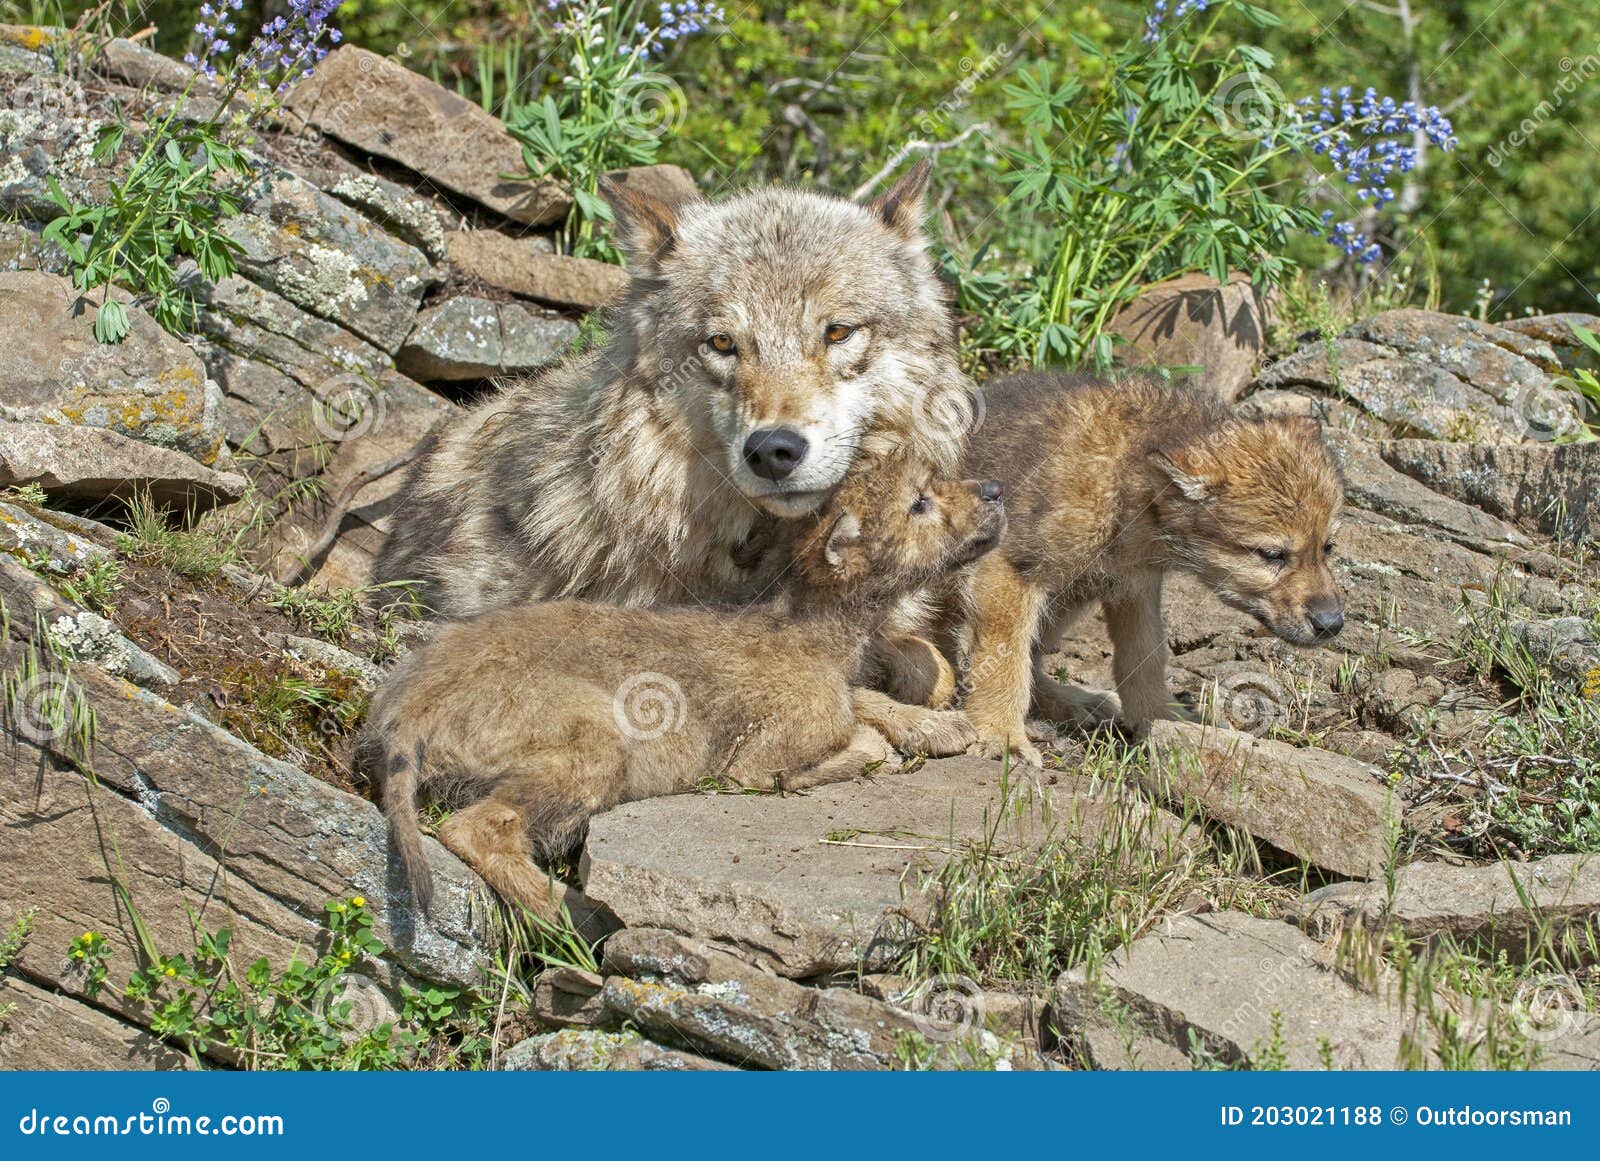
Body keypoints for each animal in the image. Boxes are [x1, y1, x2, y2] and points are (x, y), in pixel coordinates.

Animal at [366, 455, 1006, 917]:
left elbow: (868, 698)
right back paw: (576, 919)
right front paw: (892, 747)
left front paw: (938, 726)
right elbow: (843, 743)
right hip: (595, 739)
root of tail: (402, 711)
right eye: (920, 502)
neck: (813, 627)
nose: (996, 491)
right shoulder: (750, 765)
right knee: (474, 828)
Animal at [949, 372, 1345, 766]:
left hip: (1072, 593)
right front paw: (1001, 735)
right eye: (1271, 554)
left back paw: (1075, 702)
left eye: (1327, 547)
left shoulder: (1134, 585)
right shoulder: (1009, 569)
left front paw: (1160, 719)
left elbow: (1144, 657)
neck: (1126, 481)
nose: (1331, 624)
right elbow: (1003, 660)